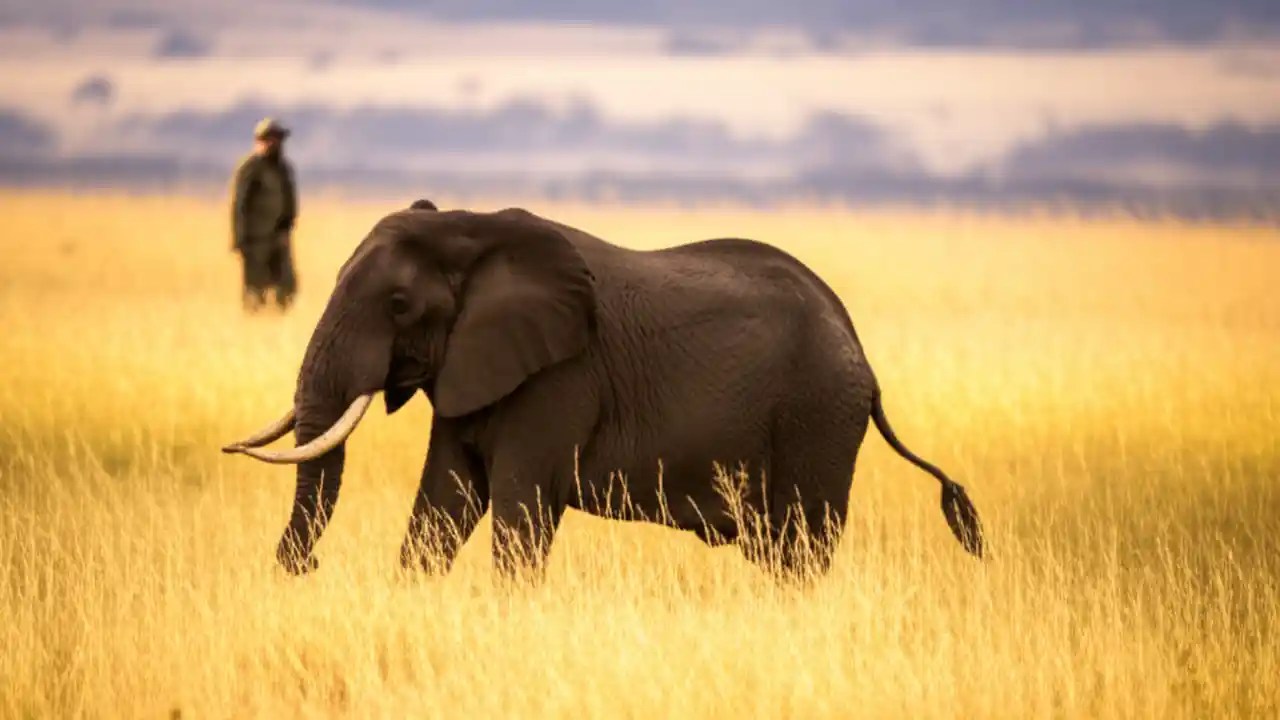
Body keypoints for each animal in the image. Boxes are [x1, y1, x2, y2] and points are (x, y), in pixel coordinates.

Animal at [222, 201, 985, 581]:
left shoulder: (562, 376)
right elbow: (445, 501)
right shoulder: (474, 362)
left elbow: (520, 509)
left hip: (816, 414)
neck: (473, 229)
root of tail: (863, 355)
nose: (304, 566)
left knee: (801, 544)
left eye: (401, 305)